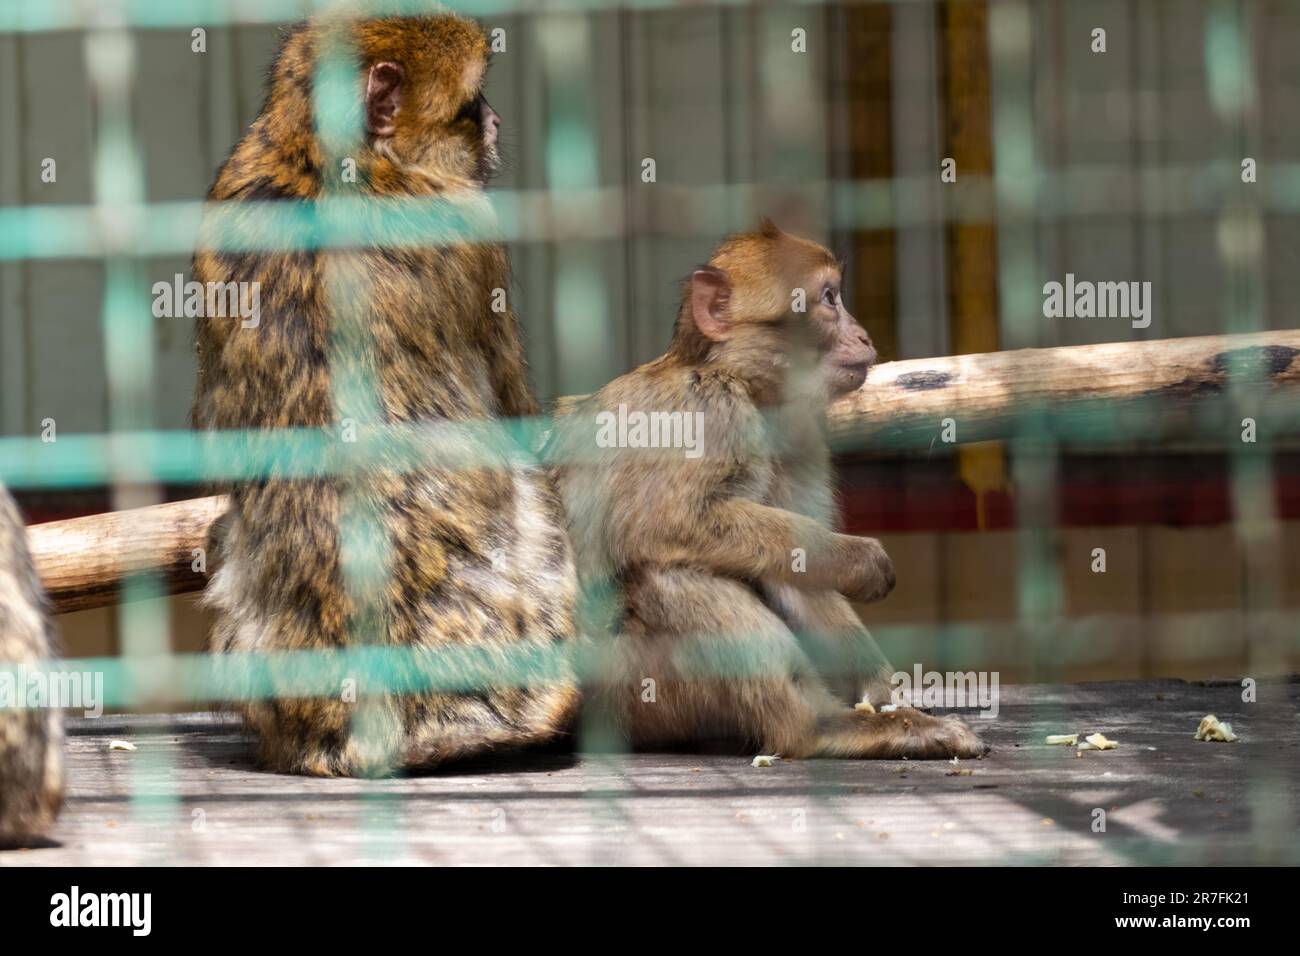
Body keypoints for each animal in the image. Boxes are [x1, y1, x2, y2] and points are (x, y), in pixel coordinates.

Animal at [547, 222, 989, 759]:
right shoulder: (706, 411)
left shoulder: (800, 436)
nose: (864, 335)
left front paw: (878, 687)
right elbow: (663, 524)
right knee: (669, 570)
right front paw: (863, 560)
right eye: (829, 299)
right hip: (626, 694)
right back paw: (817, 728)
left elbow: (799, 562)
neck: (743, 383)